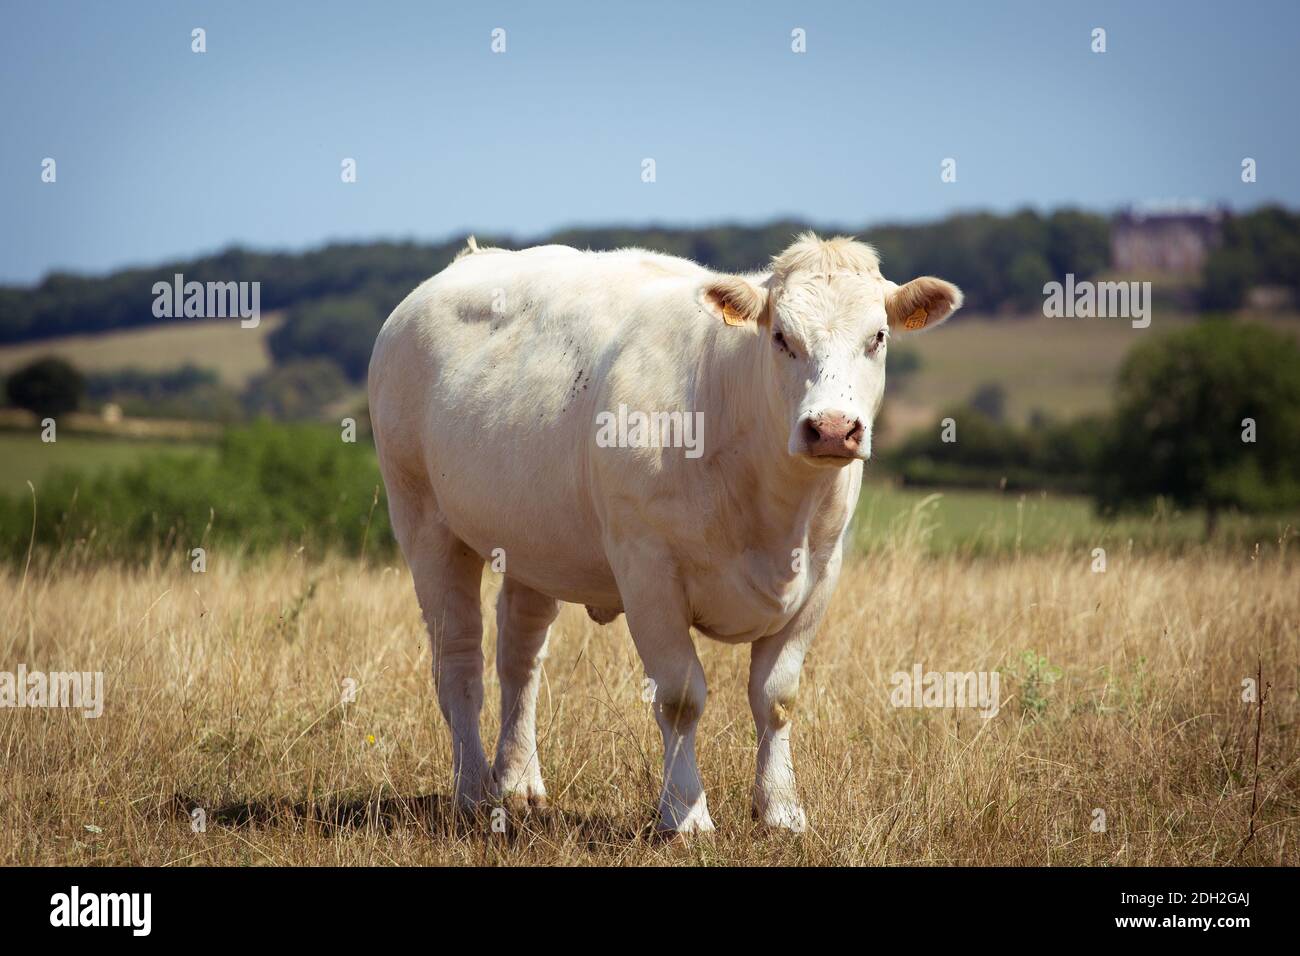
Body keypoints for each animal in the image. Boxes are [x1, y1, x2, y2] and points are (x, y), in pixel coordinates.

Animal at [367, 233, 962, 834]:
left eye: (878, 337)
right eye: (781, 337)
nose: (834, 429)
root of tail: (468, 260)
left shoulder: (821, 573)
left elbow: (776, 697)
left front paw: (780, 810)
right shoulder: (648, 570)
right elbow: (680, 696)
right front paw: (686, 814)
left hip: (534, 543)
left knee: (520, 654)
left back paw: (518, 784)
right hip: (425, 523)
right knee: (458, 661)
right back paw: (472, 793)